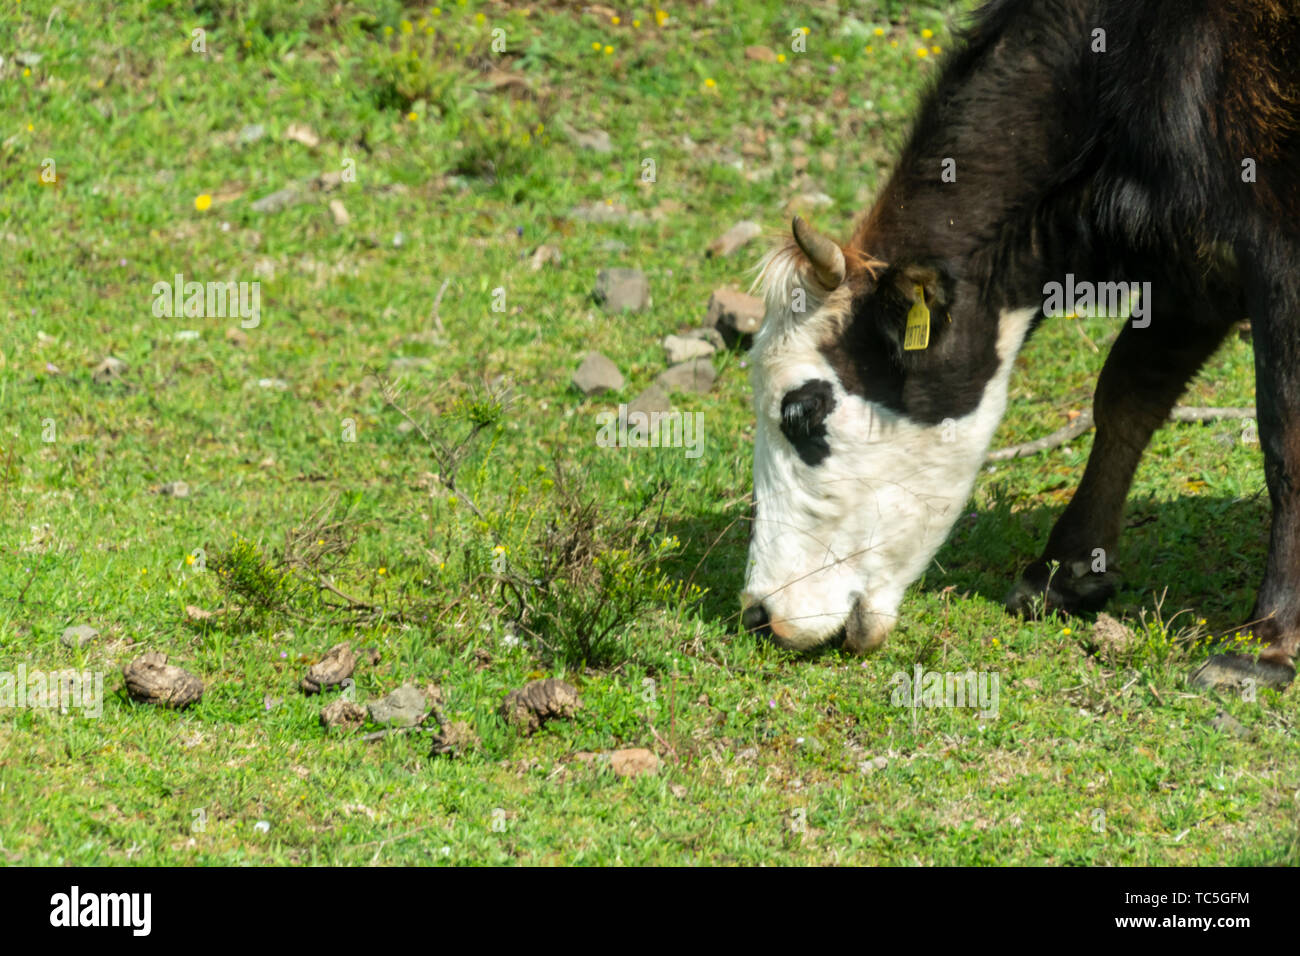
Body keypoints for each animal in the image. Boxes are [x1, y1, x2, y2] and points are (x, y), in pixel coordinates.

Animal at [741, 0, 1300, 690]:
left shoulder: (1277, 253)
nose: (760, 612)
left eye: (803, 411)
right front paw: (1066, 570)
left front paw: (1266, 642)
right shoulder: (1194, 269)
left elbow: (1284, 440)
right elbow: (1126, 398)